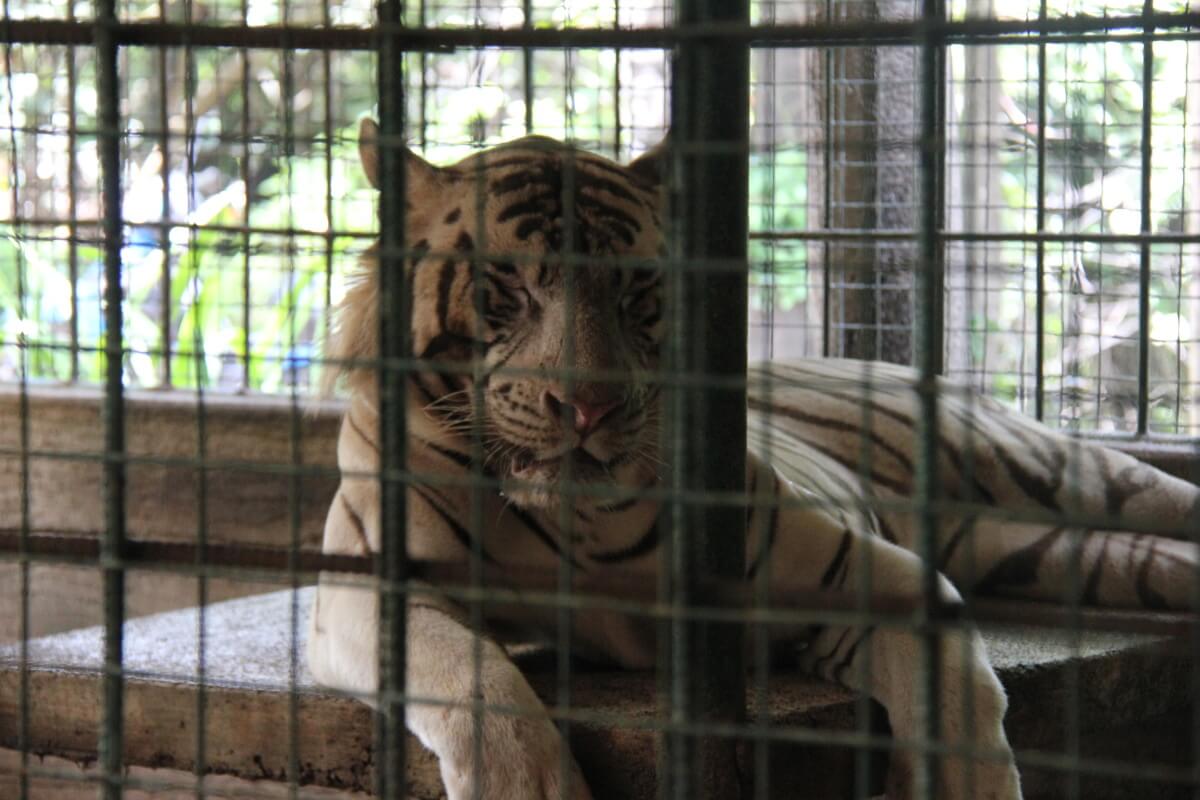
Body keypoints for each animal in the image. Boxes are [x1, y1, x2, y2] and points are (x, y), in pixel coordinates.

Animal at [307, 117, 1200, 800]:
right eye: (507, 291)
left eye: (637, 294)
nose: (590, 406)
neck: (580, 529)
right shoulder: (370, 586)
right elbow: (473, 680)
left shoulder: (871, 575)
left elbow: (953, 705)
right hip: (1062, 555)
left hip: (1079, 479)